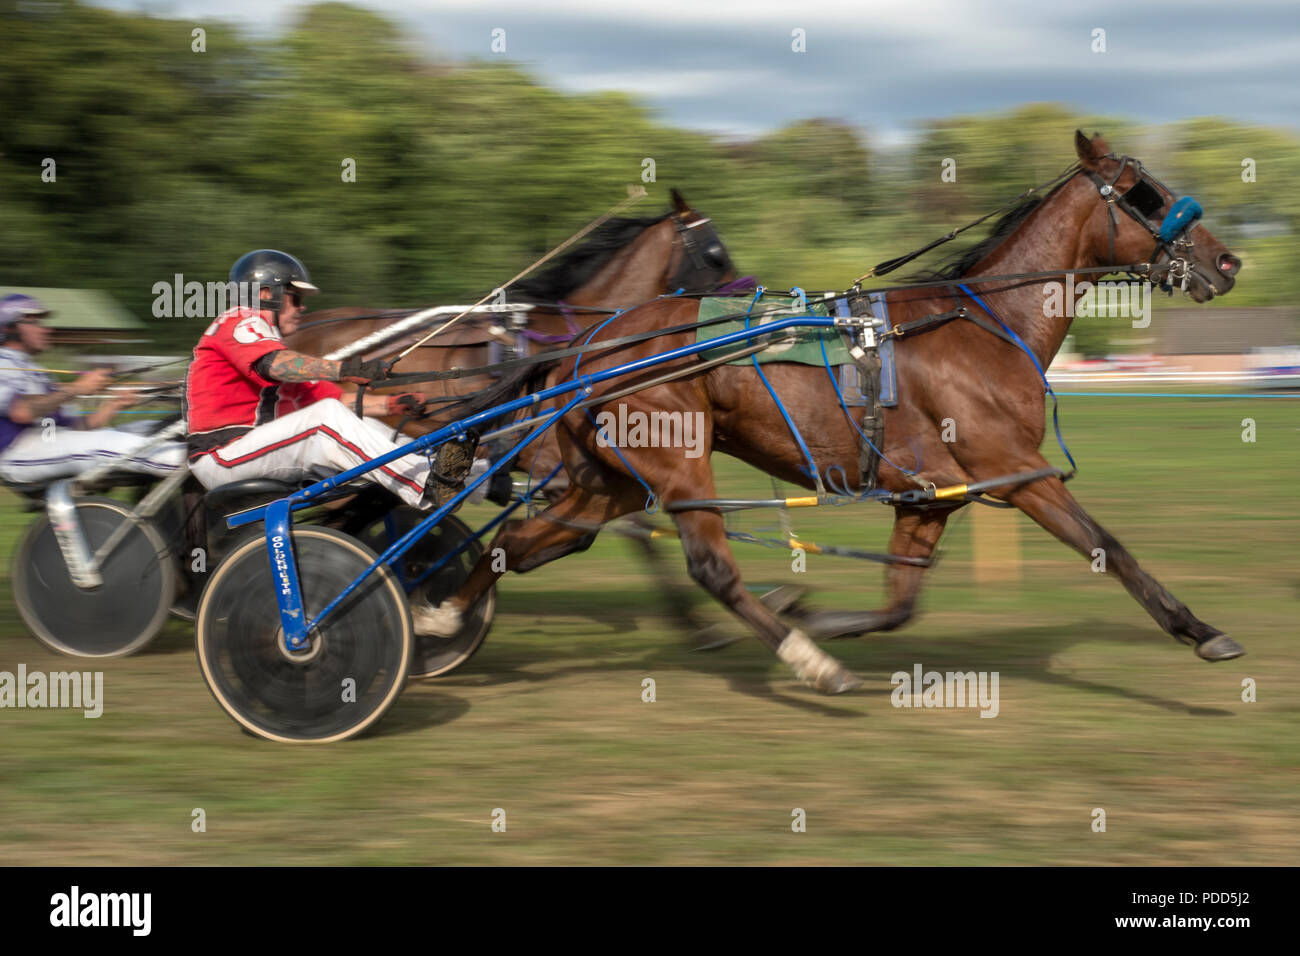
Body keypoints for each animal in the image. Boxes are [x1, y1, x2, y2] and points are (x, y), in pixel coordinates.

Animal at [418, 131, 1245, 693]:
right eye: (1145, 191)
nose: (1228, 259)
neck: (980, 325)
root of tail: (587, 345)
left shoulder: (930, 497)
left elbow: (899, 605)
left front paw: (814, 613)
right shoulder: (1015, 470)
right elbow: (1109, 546)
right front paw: (1201, 630)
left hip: (608, 478)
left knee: (523, 542)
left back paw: (437, 617)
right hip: (677, 463)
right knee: (708, 565)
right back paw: (810, 663)